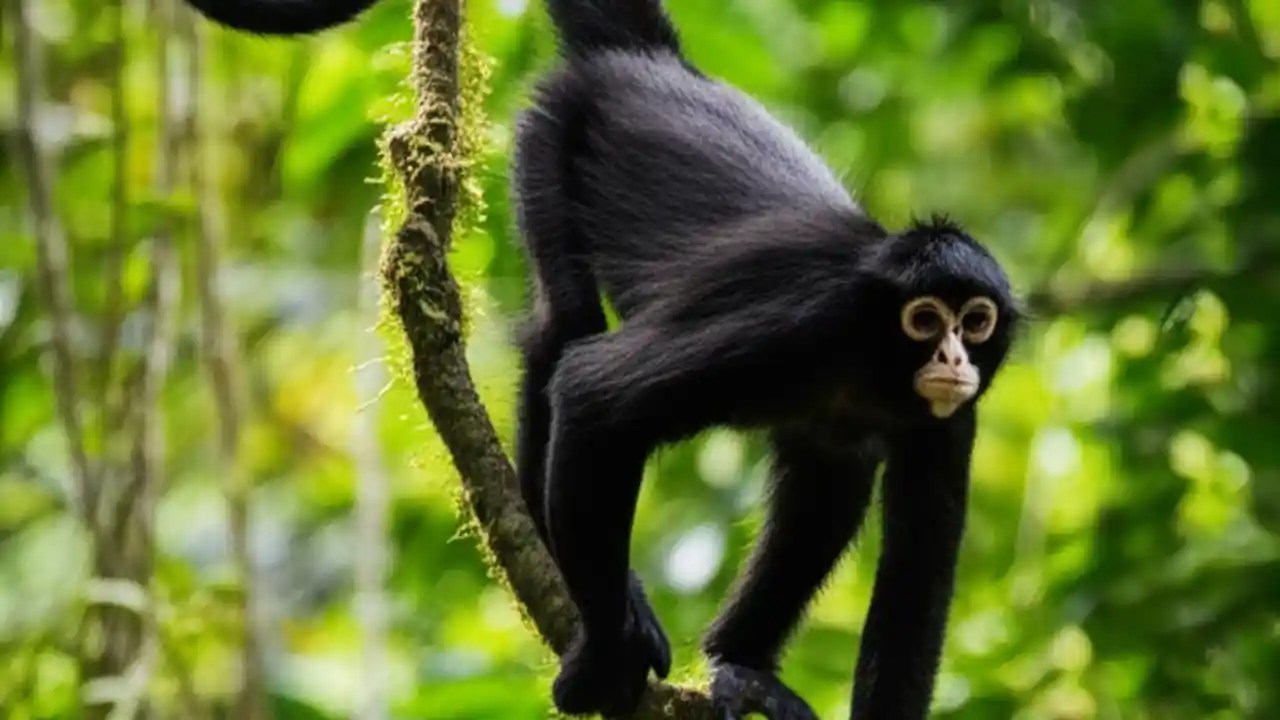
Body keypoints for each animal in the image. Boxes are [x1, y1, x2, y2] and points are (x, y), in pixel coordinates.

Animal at [176, 0, 1022, 718]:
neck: (867, 359)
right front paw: (606, 660)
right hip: (549, 133)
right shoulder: (801, 325)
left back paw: (741, 665)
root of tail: (650, 60)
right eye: (925, 319)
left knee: (833, 475)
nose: (954, 358)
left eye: (976, 322)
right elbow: (591, 390)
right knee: (564, 328)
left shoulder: (952, 420)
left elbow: (916, 577)